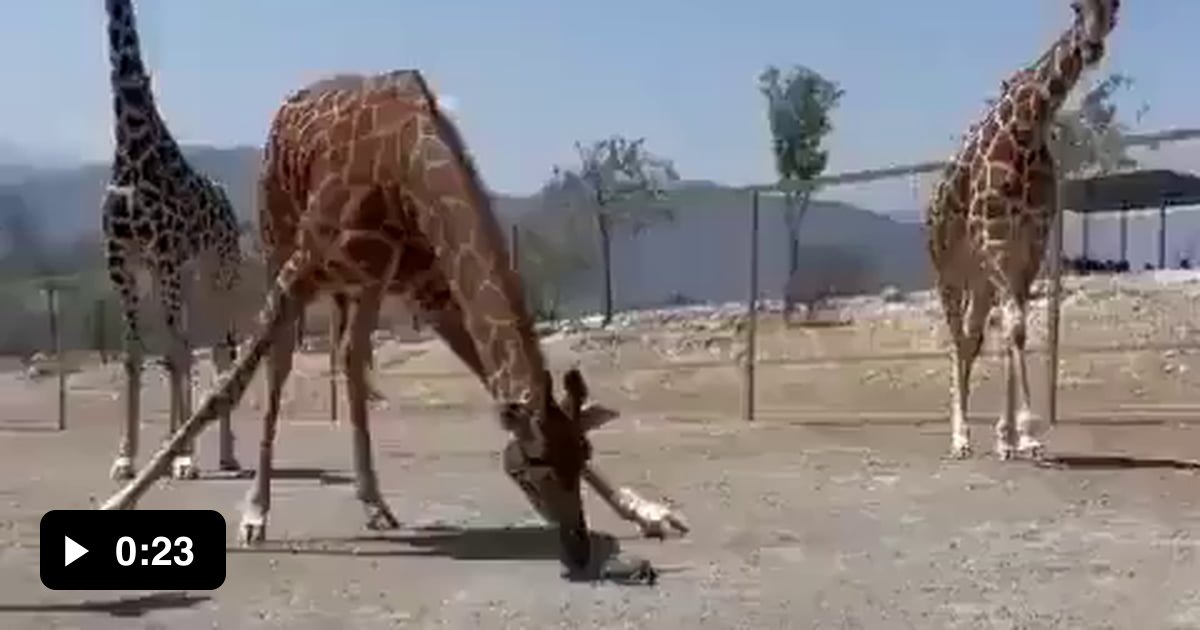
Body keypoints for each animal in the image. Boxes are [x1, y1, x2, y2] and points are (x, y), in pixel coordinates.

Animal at [99, 70, 688, 572]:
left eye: (581, 454)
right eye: (531, 469)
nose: (579, 547)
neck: (409, 162)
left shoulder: (430, 286)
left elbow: (489, 376)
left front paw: (648, 512)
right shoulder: (305, 263)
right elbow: (227, 388)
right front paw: (123, 498)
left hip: (367, 283)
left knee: (351, 358)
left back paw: (374, 502)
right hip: (276, 239)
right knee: (281, 362)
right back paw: (259, 511)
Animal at [101, 0, 243, 481]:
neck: (131, 141)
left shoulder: (163, 255)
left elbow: (179, 355)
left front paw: (183, 457)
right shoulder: (123, 261)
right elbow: (135, 355)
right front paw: (127, 458)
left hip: (219, 271)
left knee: (220, 351)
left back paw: (224, 455)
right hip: (185, 275)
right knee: (183, 343)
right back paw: (172, 446)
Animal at [925, 0, 1119, 460]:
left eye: (1115, 10)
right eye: (1076, 7)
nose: (1092, 47)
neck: (1028, 128)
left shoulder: (1031, 244)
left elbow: (1018, 328)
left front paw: (1012, 436)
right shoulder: (995, 237)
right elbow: (1013, 328)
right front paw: (1025, 432)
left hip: (979, 279)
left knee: (973, 336)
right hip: (949, 273)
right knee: (957, 339)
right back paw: (959, 438)